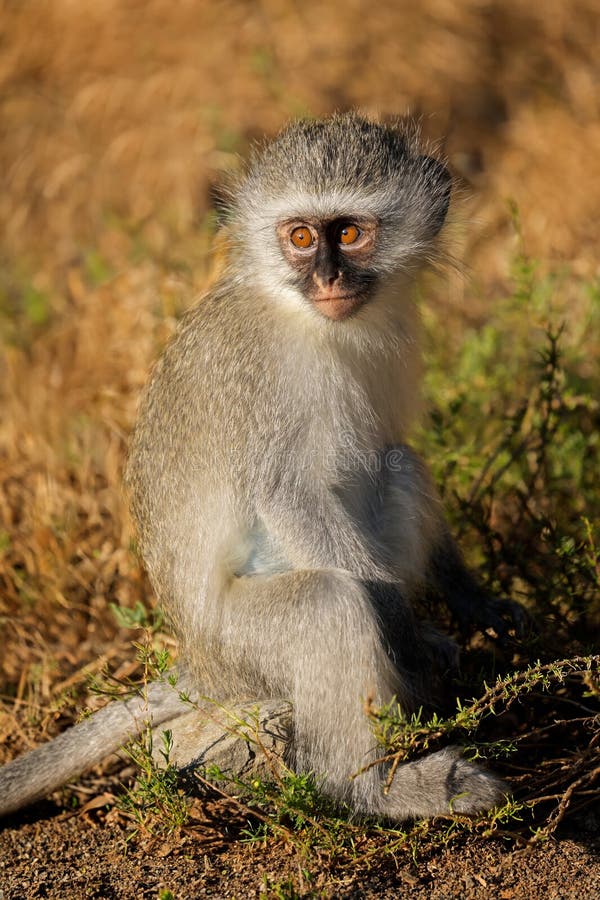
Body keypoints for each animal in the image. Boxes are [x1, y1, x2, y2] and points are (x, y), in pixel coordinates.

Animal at [0, 113, 527, 822]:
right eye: (301, 237)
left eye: (348, 234)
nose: (328, 279)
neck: (310, 320)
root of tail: (202, 668)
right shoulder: (262, 379)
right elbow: (285, 496)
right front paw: (409, 636)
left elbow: (390, 445)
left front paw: (471, 597)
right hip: (243, 649)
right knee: (329, 603)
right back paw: (373, 787)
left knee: (398, 464)